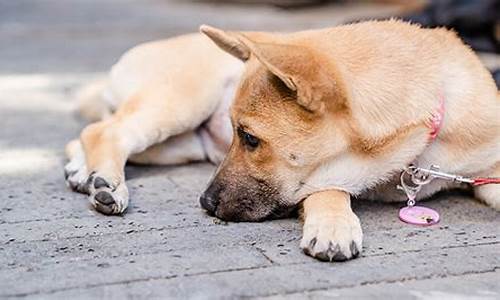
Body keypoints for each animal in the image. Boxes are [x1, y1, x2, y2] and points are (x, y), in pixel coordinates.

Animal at [65, 19, 500, 262]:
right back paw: (106, 183)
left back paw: (81, 170)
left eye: (249, 138)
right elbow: (329, 192)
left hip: (182, 145)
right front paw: (335, 226)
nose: (205, 203)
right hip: (180, 102)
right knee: (104, 129)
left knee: (90, 133)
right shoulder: (324, 177)